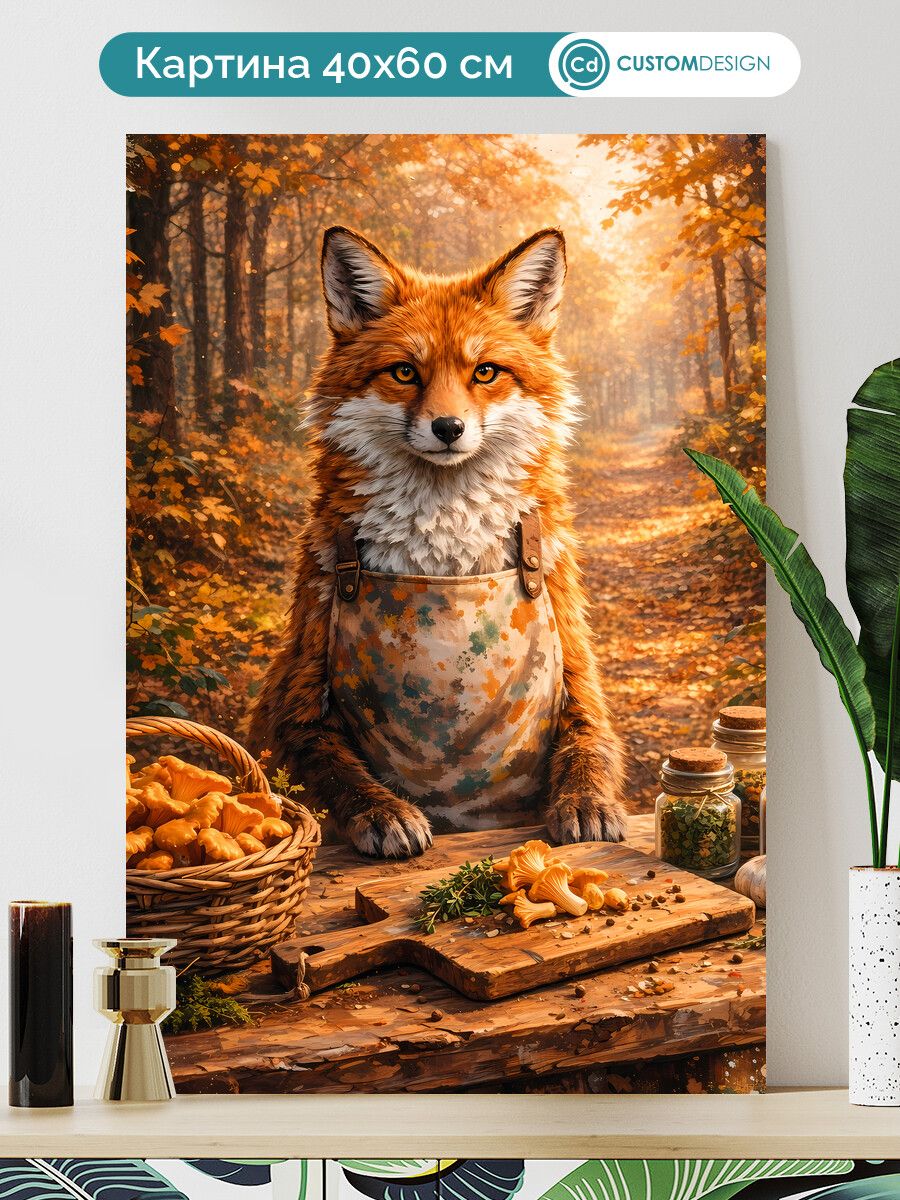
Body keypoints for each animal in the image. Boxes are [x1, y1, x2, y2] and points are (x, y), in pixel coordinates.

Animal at [247, 225, 626, 858]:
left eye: (485, 372)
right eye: (405, 372)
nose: (448, 428)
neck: (444, 563)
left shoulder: (577, 673)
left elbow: (588, 746)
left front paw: (587, 802)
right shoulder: (294, 707)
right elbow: (340, 772)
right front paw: (385, 813)